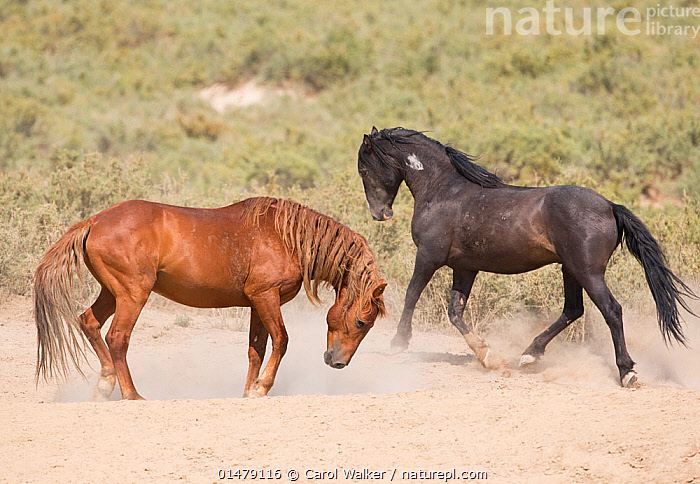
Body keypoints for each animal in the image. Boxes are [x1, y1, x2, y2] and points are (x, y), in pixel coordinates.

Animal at [34, 197, 387, 400]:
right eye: (361, 321)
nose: (337, 361)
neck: (286, 237)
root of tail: (93, 221)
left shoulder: (257, 303)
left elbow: (256, 351)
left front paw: (248, 392)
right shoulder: (267, 297)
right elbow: (282, 341)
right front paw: (262, 388)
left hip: (113, 292)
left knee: (89, 324)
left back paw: (105, 385)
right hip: (133, 295)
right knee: (117, 338)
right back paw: (132, 395)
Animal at [357, 126, 697, 387]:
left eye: (363, 168)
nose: (379, 213)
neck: (444, 191)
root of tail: (610, 206)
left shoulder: (428, 256)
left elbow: (412, 293)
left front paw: (398, 343)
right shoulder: (465, 268)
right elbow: (455, 311)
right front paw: (488, 356)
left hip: (588, 272)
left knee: (611, 310)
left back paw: (626, 372)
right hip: (570, 269)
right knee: (573, 310)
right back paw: (529, 353)